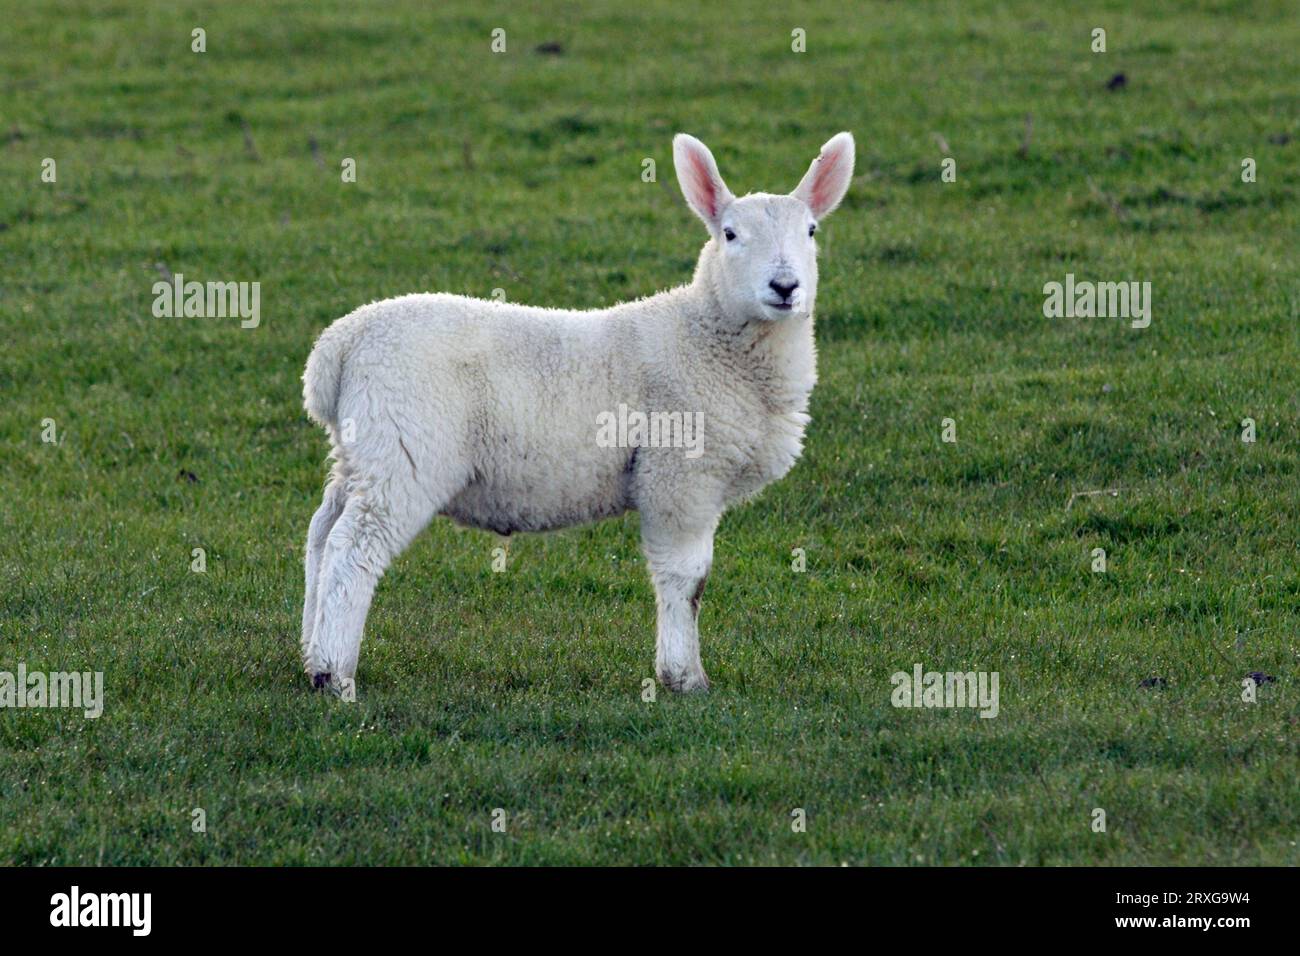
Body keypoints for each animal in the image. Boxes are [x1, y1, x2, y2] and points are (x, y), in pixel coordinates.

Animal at [300, 131, 855, 696]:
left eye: (811, 231)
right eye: (730, 234)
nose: (784, 287)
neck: (707, 336)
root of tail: (340, 345)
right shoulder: (680, 478)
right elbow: (687, 580)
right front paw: (683, 677)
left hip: (361, 450)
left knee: (322, 535)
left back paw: (310, 654)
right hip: (405, 451)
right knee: (353, 548)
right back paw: (335, 675)